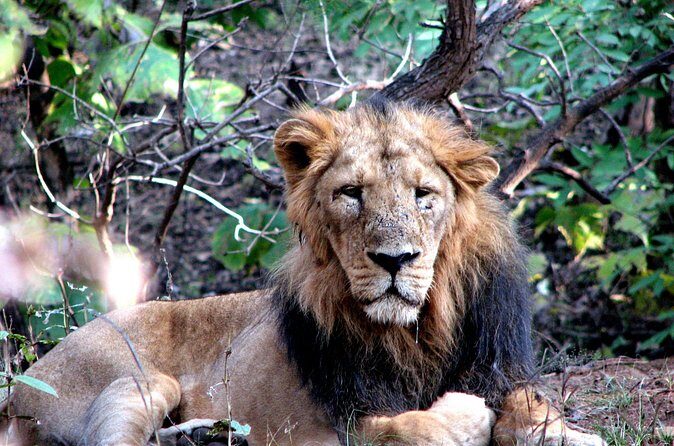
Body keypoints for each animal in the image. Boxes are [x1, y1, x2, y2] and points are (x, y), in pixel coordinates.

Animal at [6, 100, 605, 446]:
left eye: (423, 195)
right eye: (351, 194)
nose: (395, 260)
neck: (417, 331)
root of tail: (14, 392)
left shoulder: (502, 369)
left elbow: (532, 408)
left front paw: (568, 434)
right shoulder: (328, 426)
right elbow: (402, 428)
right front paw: (464, 419)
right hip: (140, 378)